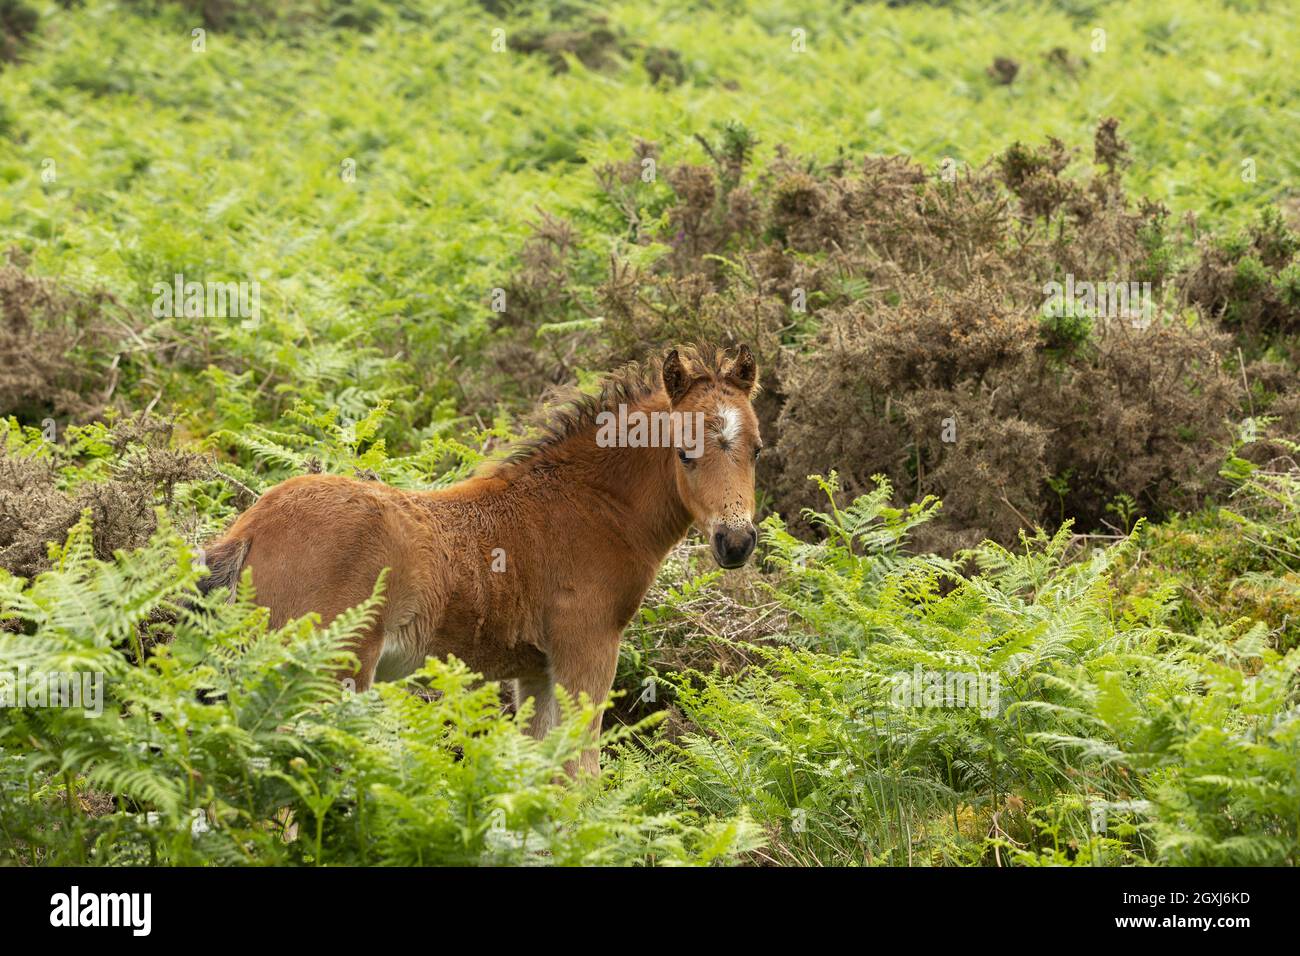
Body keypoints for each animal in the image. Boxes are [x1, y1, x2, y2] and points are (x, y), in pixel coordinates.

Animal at [196, 344, 763, 774]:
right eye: (684, 453)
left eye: (757, 448)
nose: (735, 542)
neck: (589, 506)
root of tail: (252, 528)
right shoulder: (589, 649)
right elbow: (582, 778)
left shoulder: (535, 671)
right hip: (329, 671)